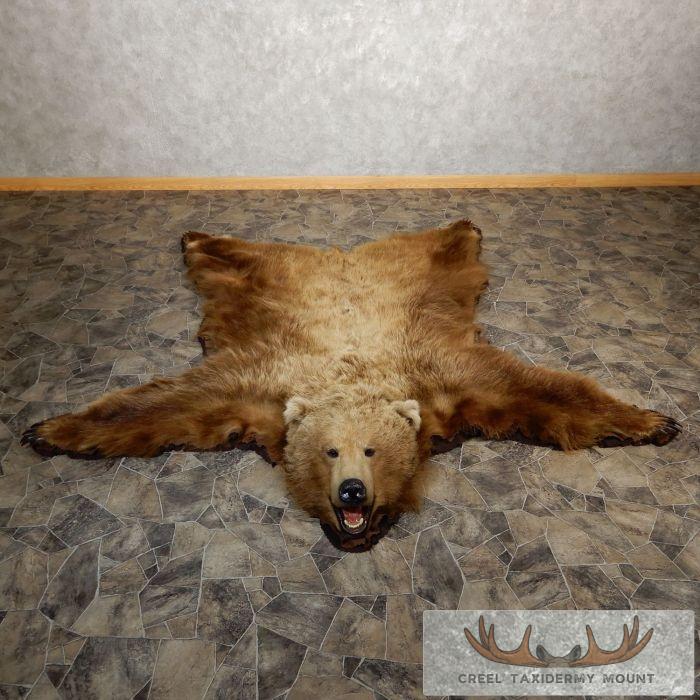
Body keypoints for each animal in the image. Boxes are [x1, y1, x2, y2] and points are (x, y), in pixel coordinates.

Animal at [22, 220, 681, 551]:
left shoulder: (449, 375)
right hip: (266, 272)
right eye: (328, 453)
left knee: (447, 241)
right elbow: (158, 402)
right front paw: (51, 429)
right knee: (229, 251)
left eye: (374, 451)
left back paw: (467, 223)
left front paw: (651, 420)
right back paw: (193, 236)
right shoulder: (252, 381)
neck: (352, 378)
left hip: (422, 265)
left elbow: (545, 388)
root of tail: (342, 252)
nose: (353, 494)